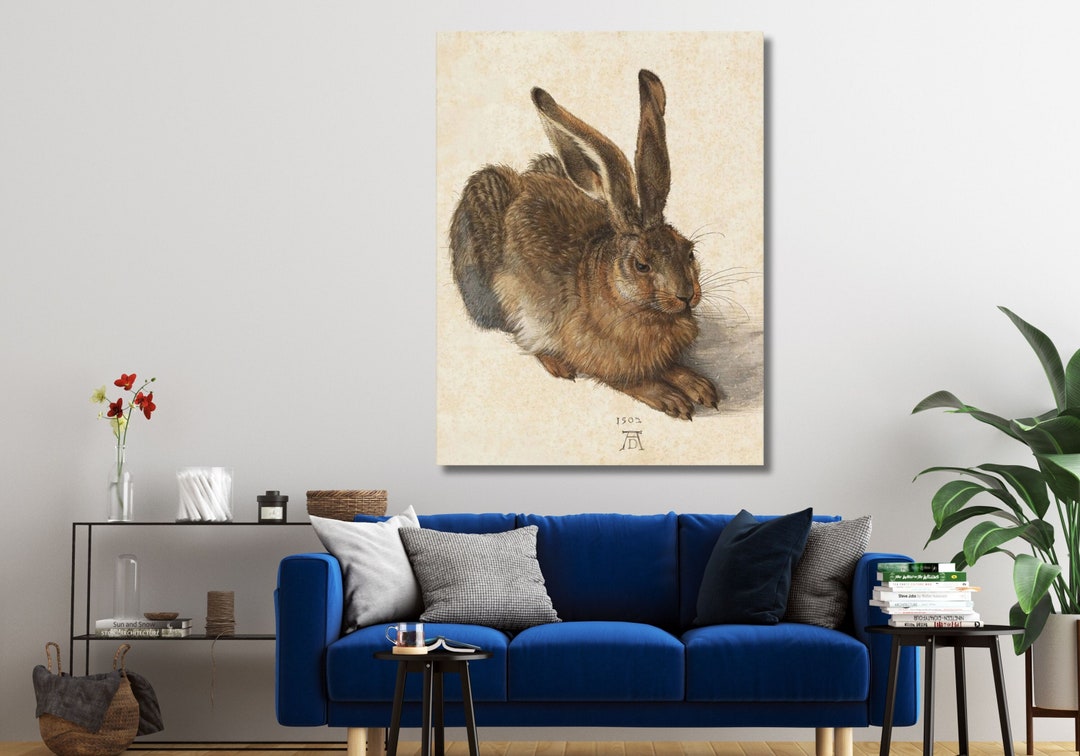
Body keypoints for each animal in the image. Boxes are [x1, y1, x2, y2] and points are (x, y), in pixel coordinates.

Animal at [449, 69, 720, 420]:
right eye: (642, 265)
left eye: (689, 252)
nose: (686, 295)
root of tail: (524, 182)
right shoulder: (598, 356)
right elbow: (631, 380)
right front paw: (671, 398)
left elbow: (670, 367)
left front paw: (700, 386)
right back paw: (556, 363)